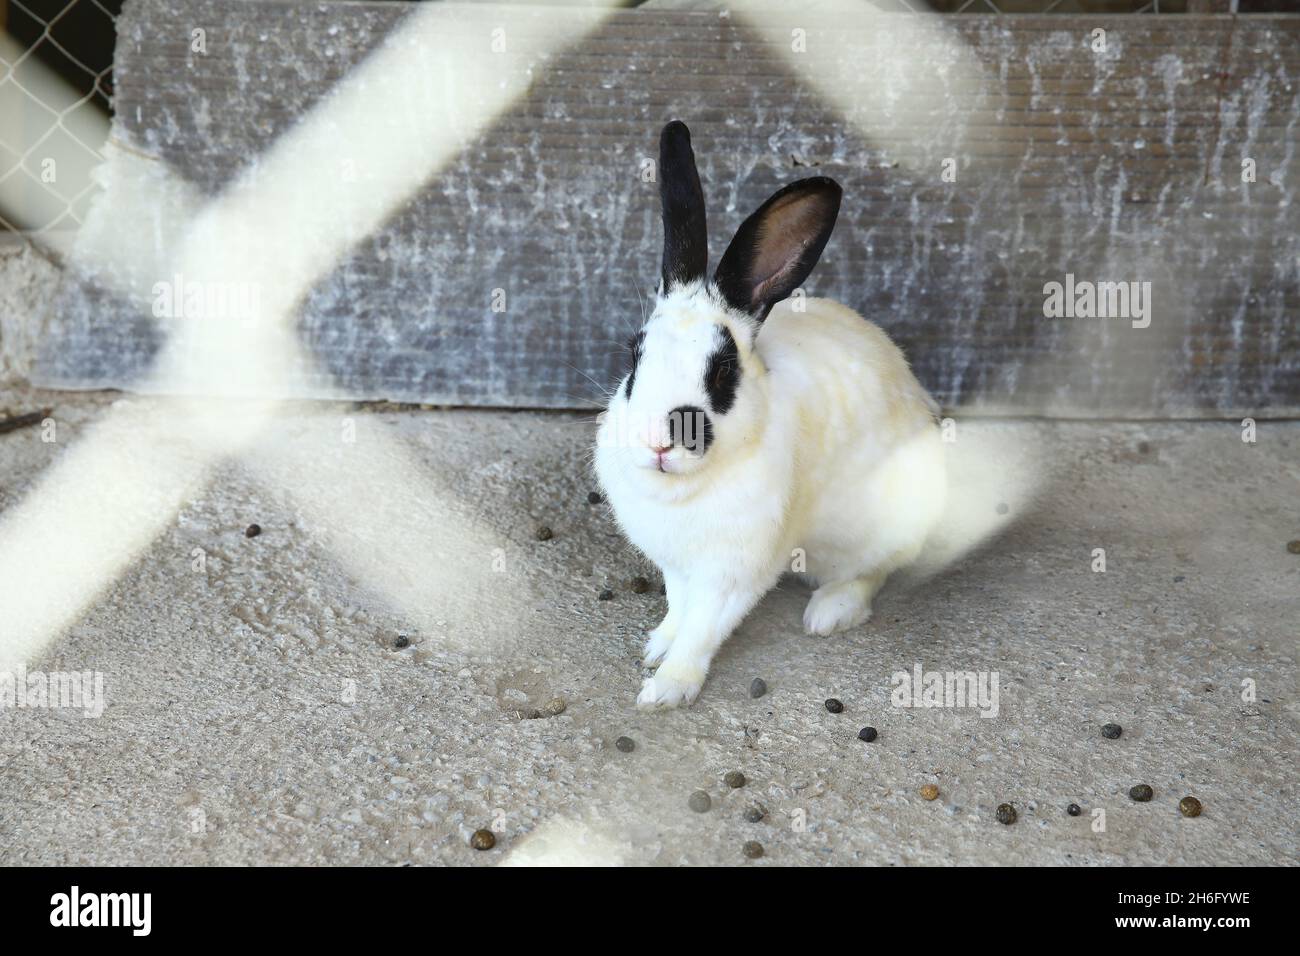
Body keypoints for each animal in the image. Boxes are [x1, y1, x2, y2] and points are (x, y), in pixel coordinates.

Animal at [594, 120, 946, 710]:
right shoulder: (677, 565)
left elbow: (703, 628)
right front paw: (657, 645)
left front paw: (667, 688)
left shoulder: (734, 573)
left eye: (721, 372)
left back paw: (829, 612)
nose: (660, 442)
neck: (683, 491)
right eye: (634, 357)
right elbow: (678, 608)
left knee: (874, 572)